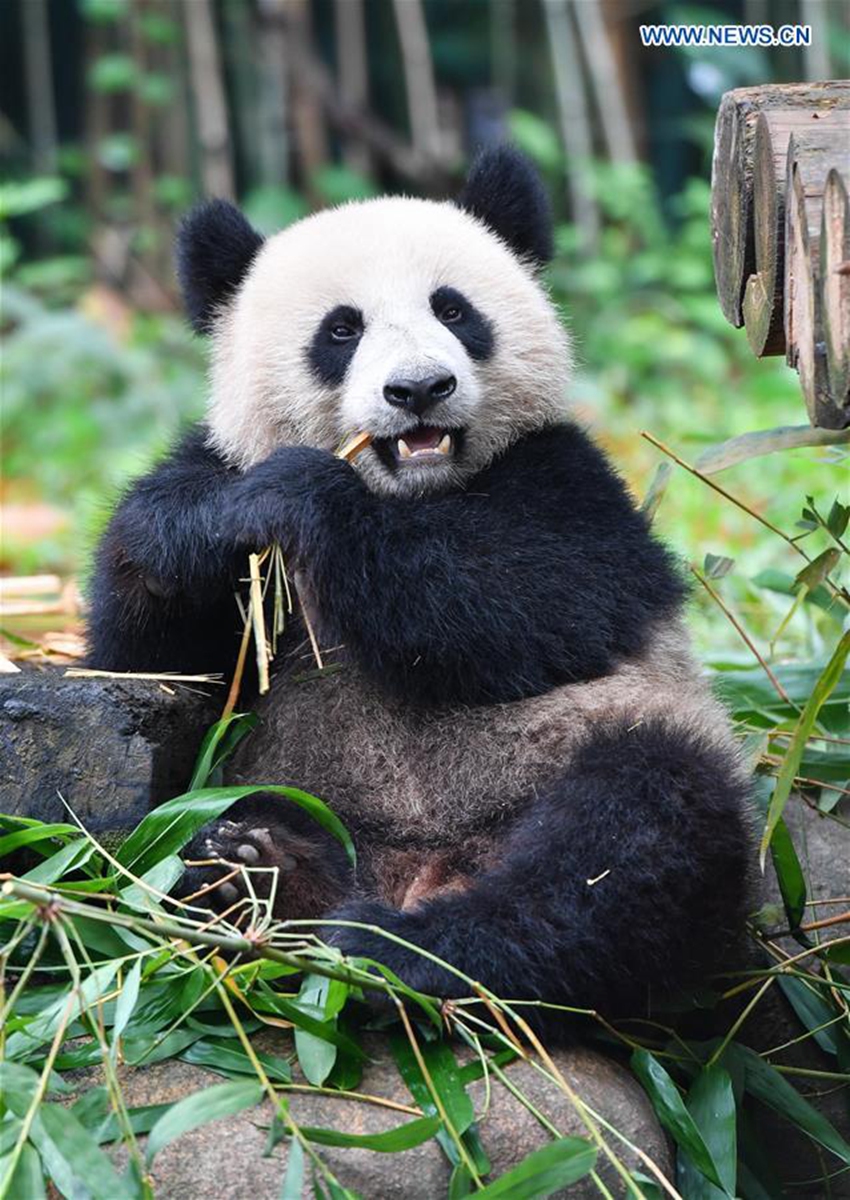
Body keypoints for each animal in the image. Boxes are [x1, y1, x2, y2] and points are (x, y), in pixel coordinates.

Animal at [89, 146, 752, 1026]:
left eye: (455, 310)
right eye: (341, 329)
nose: (418, 390)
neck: (412, 495)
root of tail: (418, 870)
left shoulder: (572, 486)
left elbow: (514, 600)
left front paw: (303, 498)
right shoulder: (221, 482)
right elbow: (152, 657)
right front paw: (194, 526)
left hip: (605, 746)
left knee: (631, 837)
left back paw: (411, 952)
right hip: (288, 782)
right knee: (204, 829)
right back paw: (260, 869)